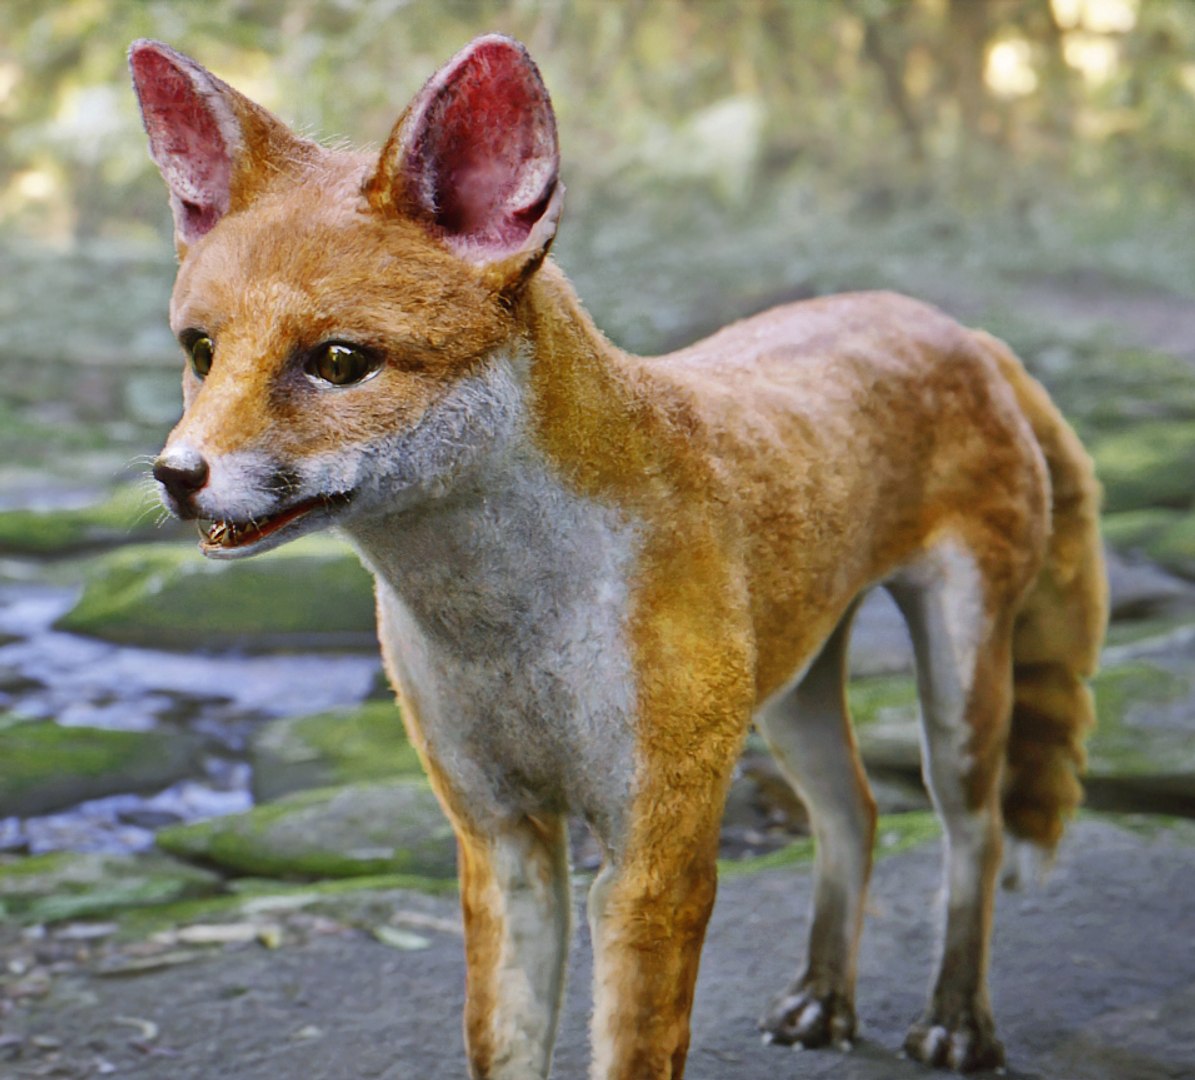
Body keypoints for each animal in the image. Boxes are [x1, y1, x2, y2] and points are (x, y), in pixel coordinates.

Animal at [130, 33, 1107, 1080]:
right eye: (201, 352)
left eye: (340, 363)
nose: (176, 475)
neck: (507, 629)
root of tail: (953, 326)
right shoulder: (499, 838)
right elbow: (505, 1042)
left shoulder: (652, 857)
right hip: (790, 693)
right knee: (854, 814)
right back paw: (823, 997)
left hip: (956, 699)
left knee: (974, 834)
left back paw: (959, 1019)